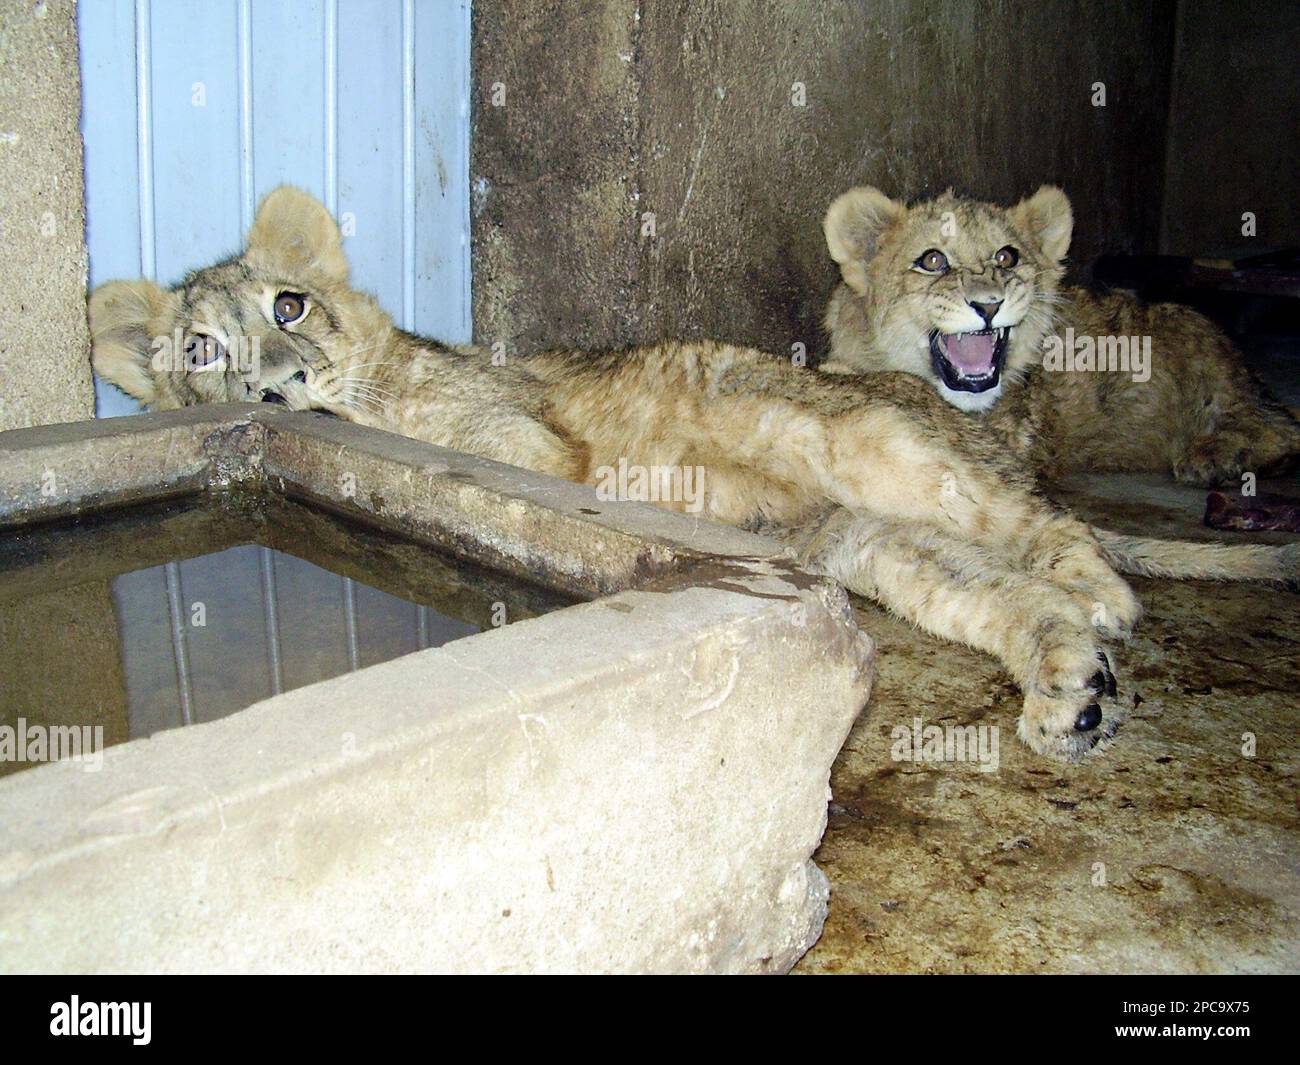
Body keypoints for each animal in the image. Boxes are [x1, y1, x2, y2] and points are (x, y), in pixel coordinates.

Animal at [820, 184, 1300, 486]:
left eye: (1007, 257)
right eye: (933, 260)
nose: (989, 304)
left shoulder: (1008, 448)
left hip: (1204, 358)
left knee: (1278, 426)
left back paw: (1214, 456)